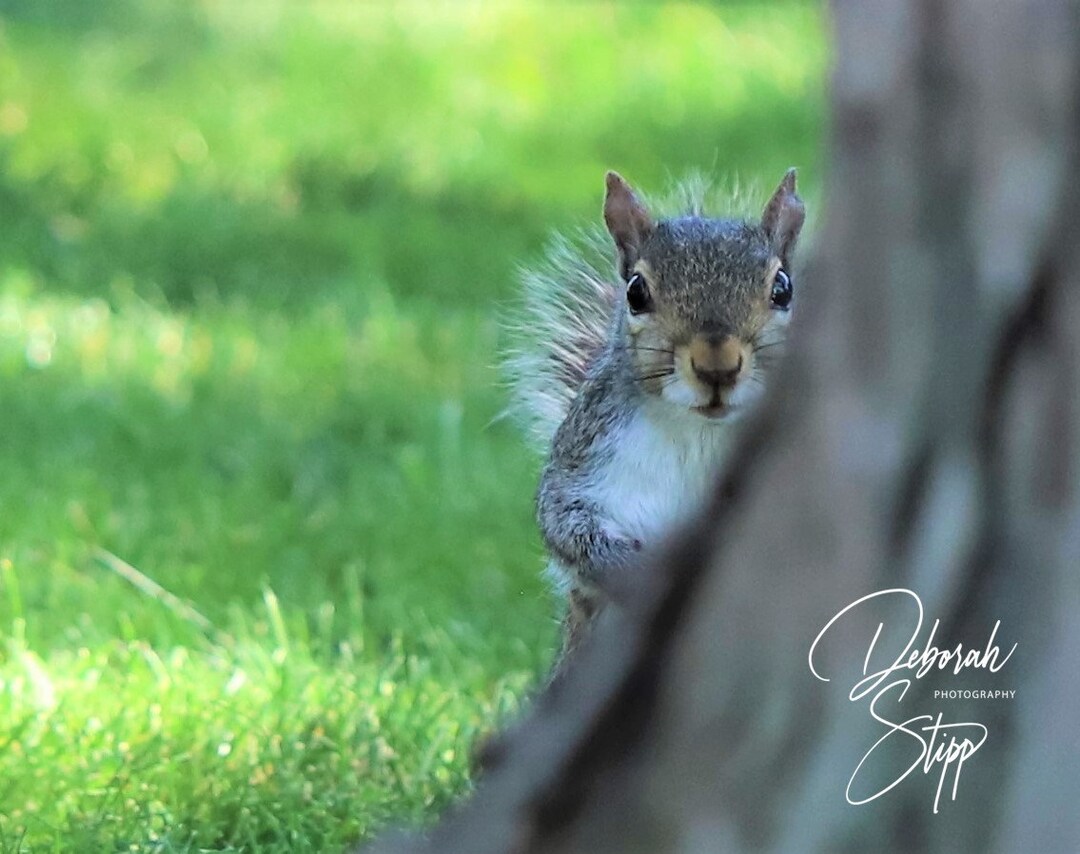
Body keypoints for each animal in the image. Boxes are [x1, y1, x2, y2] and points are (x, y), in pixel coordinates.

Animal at [505, 169, 806, 666]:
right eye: (635, 292)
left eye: (783, 288)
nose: (717, 366)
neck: (698, 428)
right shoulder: (584, 455)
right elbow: (565, 525)